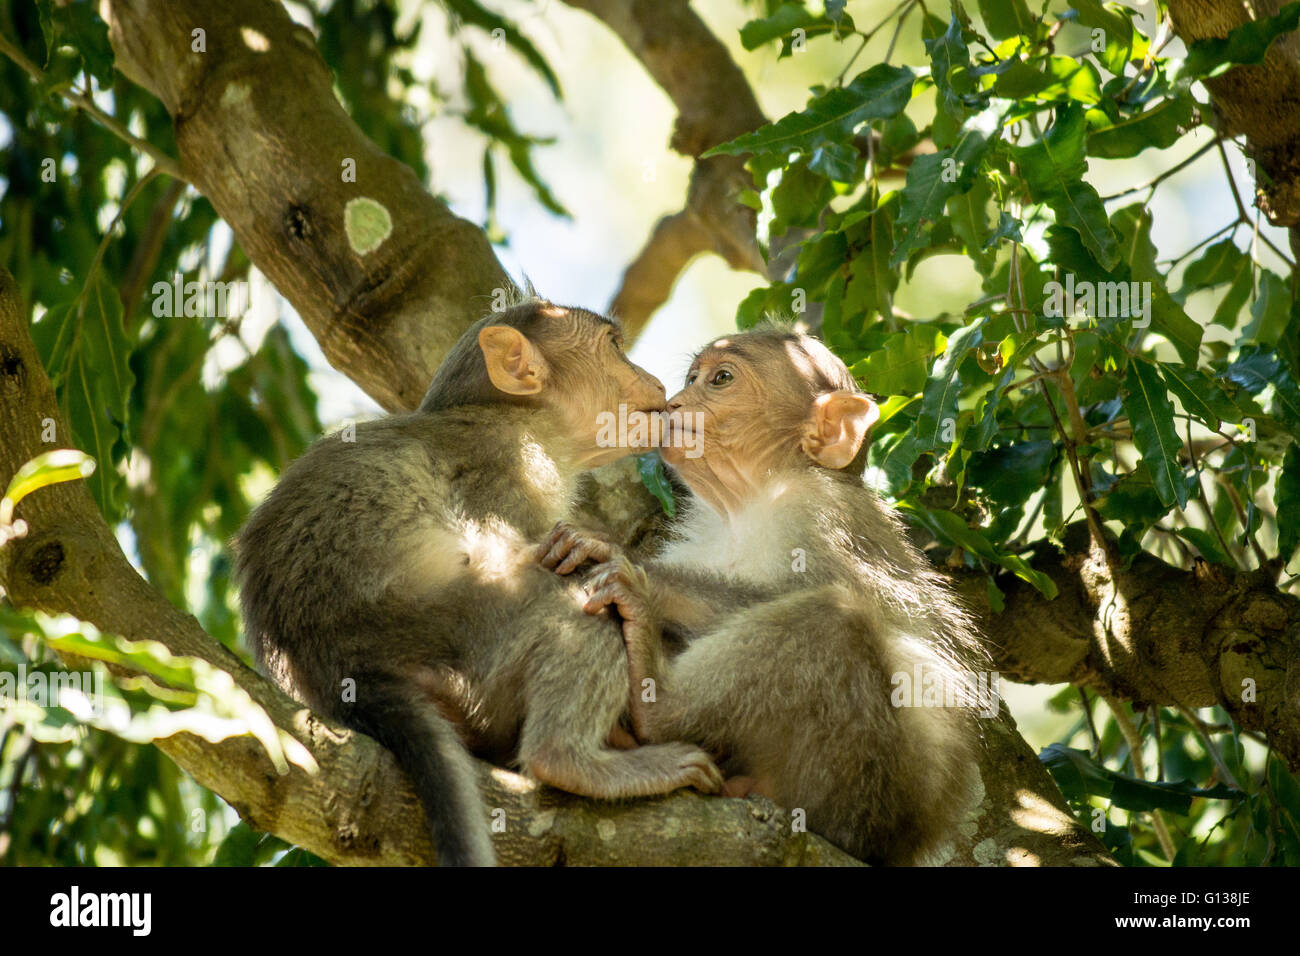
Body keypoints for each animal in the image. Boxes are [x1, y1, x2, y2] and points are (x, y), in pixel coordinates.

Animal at [233, 296, 723, 867]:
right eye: (615, 347)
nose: (655, 380)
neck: (518, 418)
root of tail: (334, 674)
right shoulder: (511, 463)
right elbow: (507, 548)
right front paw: (595, 548)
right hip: (458, 634)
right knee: (573, 599)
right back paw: (570, 760)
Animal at [538, 323, 988, 865]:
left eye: (721, 379)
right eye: (691, 378)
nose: (675, 402)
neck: (748, 503)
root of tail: (905, 840)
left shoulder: (821, 514)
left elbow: (814, 590)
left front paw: (639, 573)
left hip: (867, 785)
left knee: (833, 618)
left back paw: (657, 703)